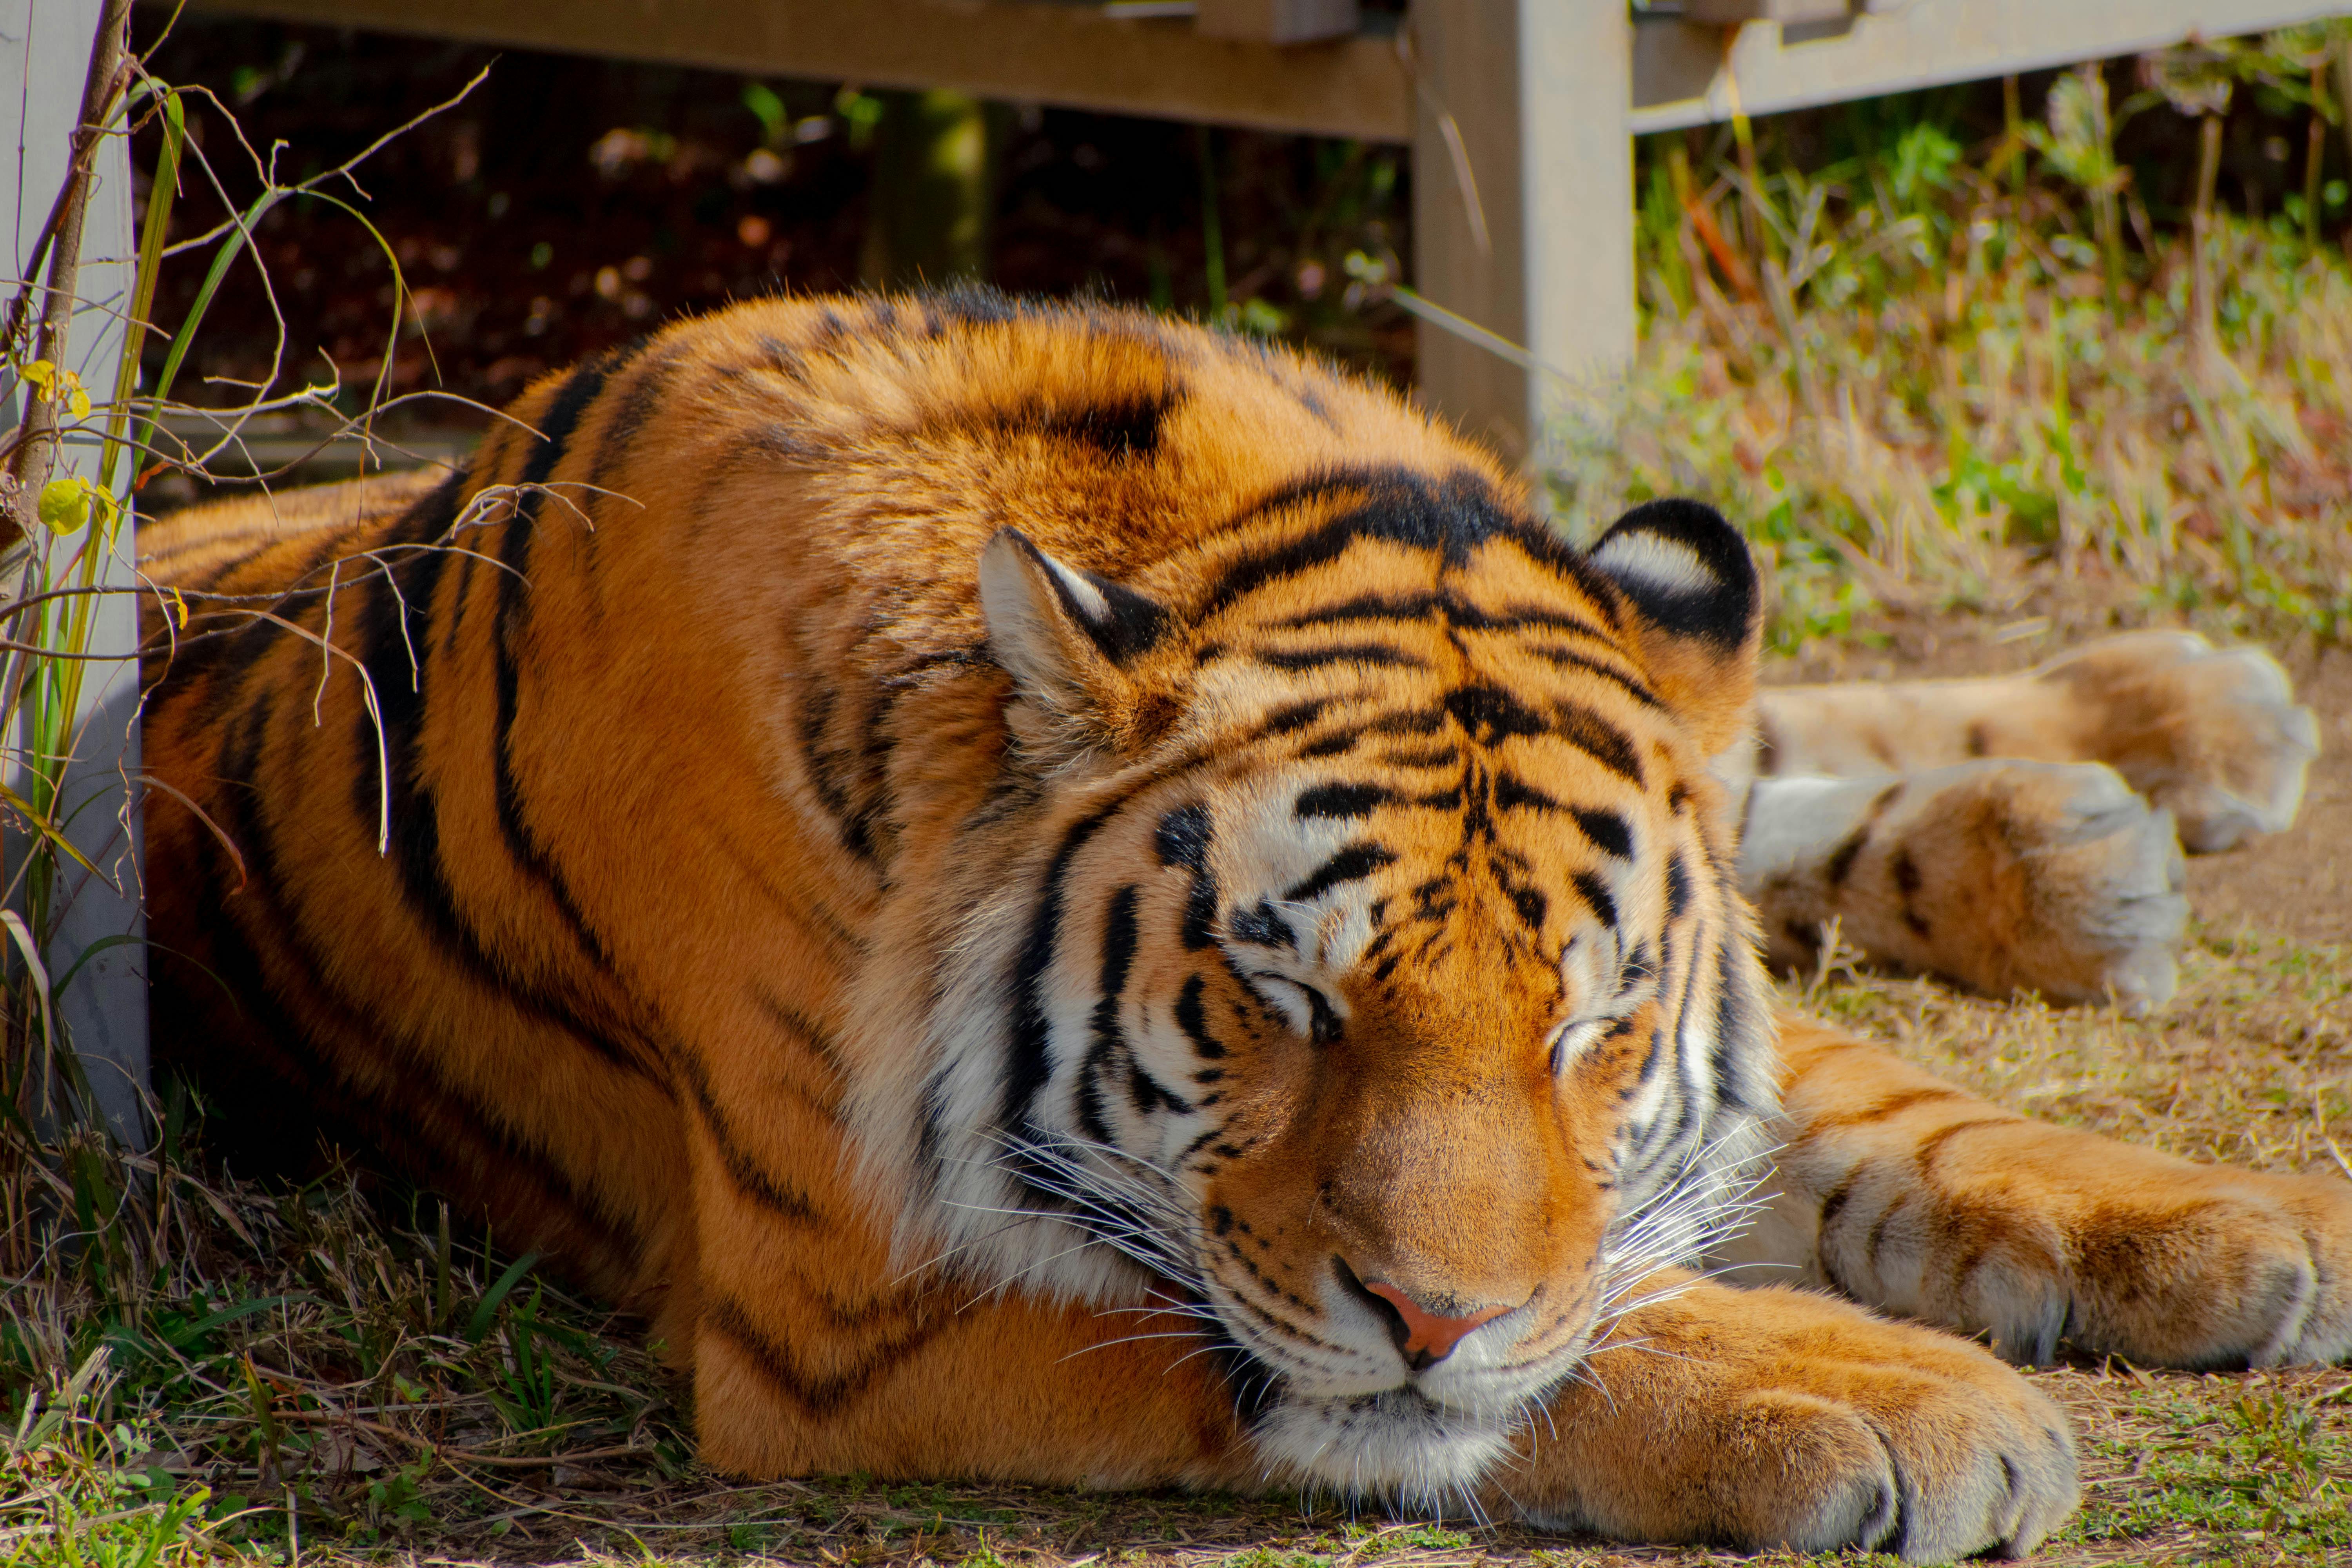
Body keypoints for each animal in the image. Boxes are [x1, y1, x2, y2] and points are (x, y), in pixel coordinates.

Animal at [140, 291, 2352, 1564]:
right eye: (1280, 994)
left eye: (1591, 1025)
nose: (1433, 1304)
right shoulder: (853, 1303)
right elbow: (1522, 1344)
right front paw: (1903, 1399)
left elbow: (1868, 1115)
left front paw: (2240, 1224)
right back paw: (2108, 816)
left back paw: (2152, 744)